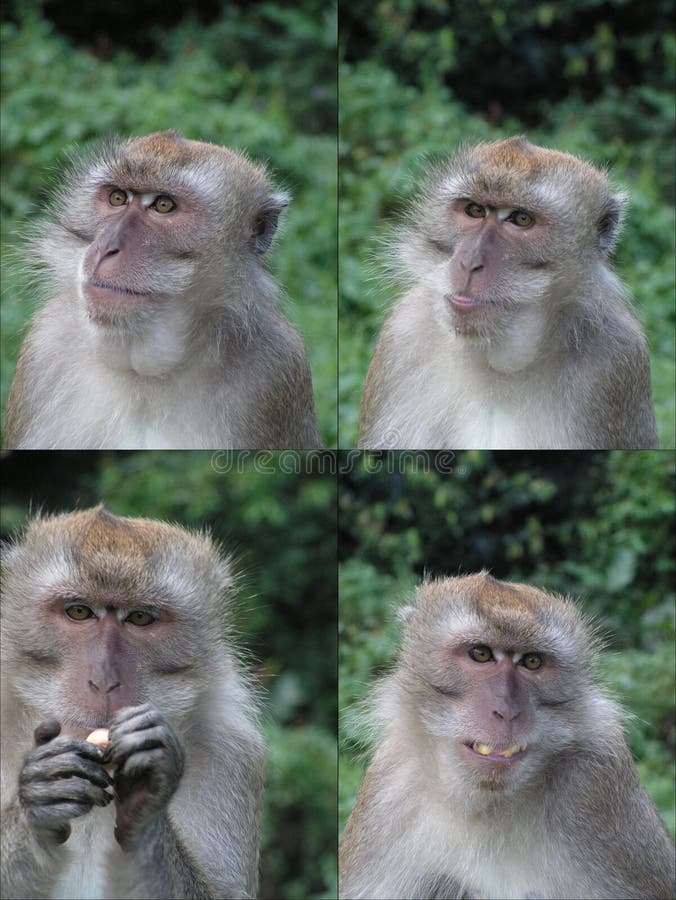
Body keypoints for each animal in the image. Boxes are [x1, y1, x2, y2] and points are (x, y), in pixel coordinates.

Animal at [0, 506, 264, 900]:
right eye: (80, 612)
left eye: (140, 617)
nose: (104, 681)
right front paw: (36, 802)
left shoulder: (233, 751)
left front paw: (147, 803)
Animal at [3, 130, 321, 450]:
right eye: (118, 197)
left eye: (163, 205)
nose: (106, 248)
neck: (143, 374)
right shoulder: (45, 344)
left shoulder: (276, 366)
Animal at [339, 571, 676, 900]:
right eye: (481, 653)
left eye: (532, 661)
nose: (507, 711)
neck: (484, 805)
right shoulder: (389, 784)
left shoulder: (600, 784)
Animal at [358, 136, 659, 450]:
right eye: (475, 210)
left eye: (521, 219)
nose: (469, 262)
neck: (499, 366)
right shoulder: (403, 335)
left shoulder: (616, 358)